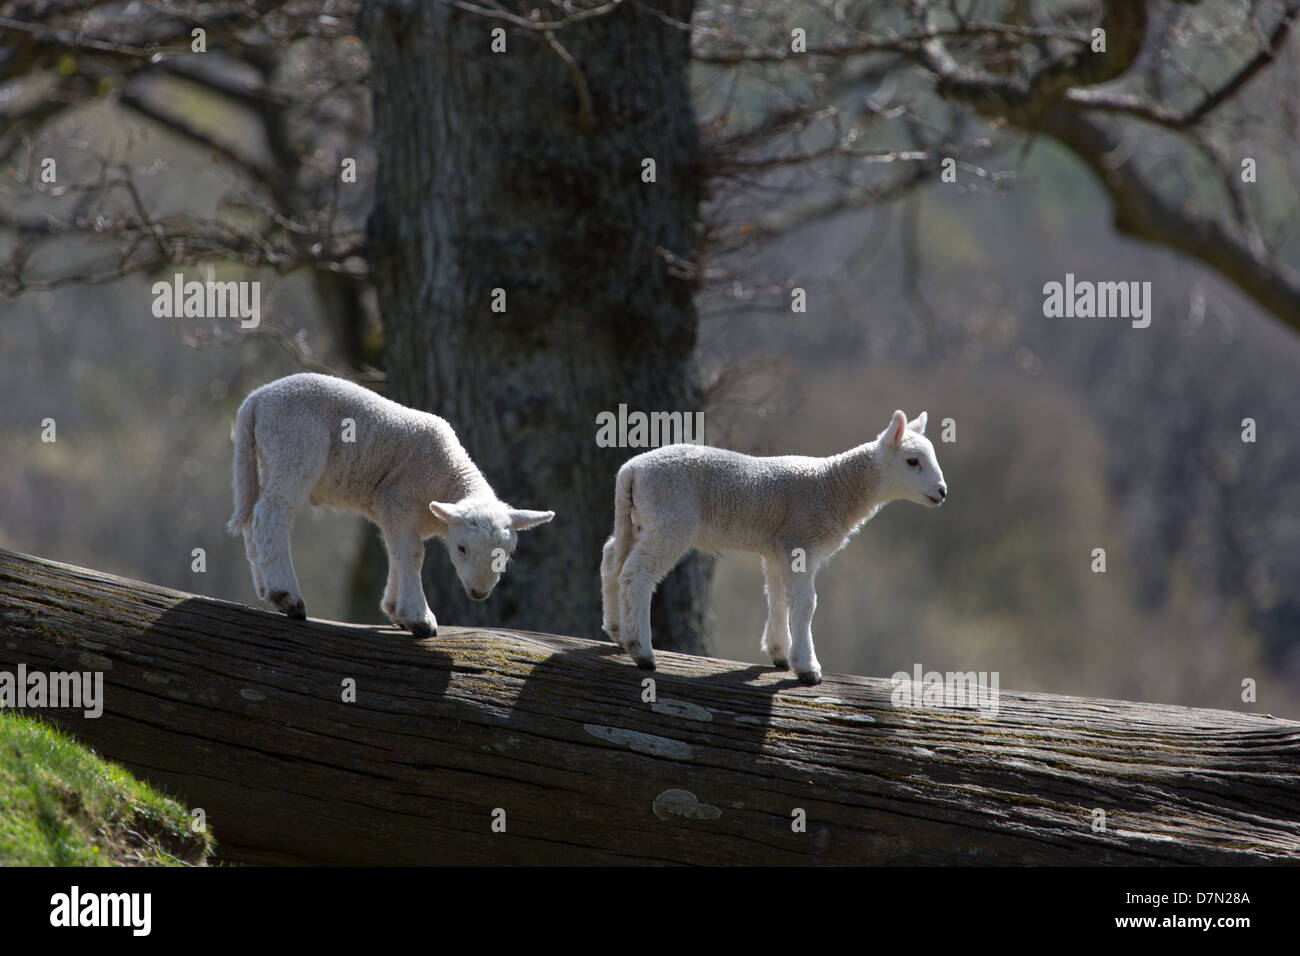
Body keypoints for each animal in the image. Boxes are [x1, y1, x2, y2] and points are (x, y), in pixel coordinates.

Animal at [226, 373, 555, 636]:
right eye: (462, 549)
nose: (479, 593)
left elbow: (397, 551)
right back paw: (286, 595)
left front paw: (397, 610)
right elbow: (412, 554)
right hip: (294, 446)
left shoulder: (394, 511)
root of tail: (257, 399)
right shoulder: (400, 498)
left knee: (253, 517)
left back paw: (267, 588)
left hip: (268, 457)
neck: (447, 474)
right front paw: (420, 618)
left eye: (506, 555)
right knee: (273, 513)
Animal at [601, 410, 946, 684]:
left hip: (638, 518)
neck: (834, 486)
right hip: (671, 516)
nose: (942, 491)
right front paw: (807, 668)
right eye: (912, 461)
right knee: (638, 572)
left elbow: (778, 596)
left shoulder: (779, 548)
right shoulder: (801, 539)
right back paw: (642, 650)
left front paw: (780, 653)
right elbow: (805, 603)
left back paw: (618, 631)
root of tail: (632, 469)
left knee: (611, 560)